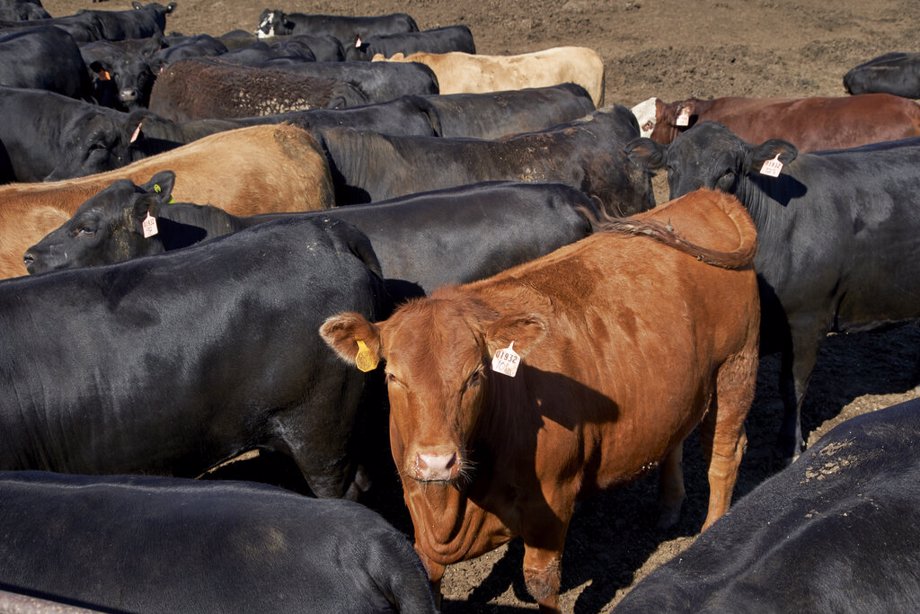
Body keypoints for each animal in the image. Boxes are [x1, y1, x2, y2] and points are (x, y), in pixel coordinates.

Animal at [319, 187, 761, 612]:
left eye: (475, 375)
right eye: (392, 375)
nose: (436, 461)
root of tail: (705, 198)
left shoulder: (553, 499)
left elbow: (541, 581)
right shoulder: (417, 505)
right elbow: (427, 574)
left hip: (736, 367)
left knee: (725, 453)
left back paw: (712, 532)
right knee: (677, 438)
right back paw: (668, 508)